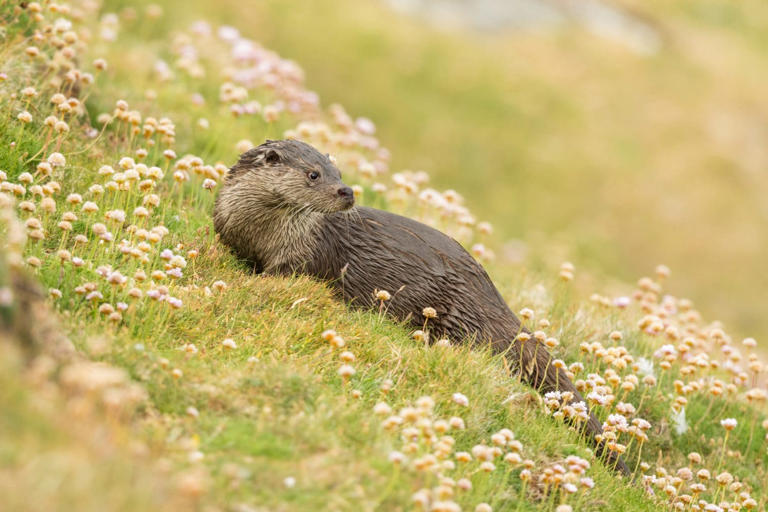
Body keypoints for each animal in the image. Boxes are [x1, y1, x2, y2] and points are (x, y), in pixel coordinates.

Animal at [213, 139, 629, 475]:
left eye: (339, 173)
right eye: (314, 174)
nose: (346, 191)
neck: (260, 233)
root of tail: (493, 297)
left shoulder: (302, 258)